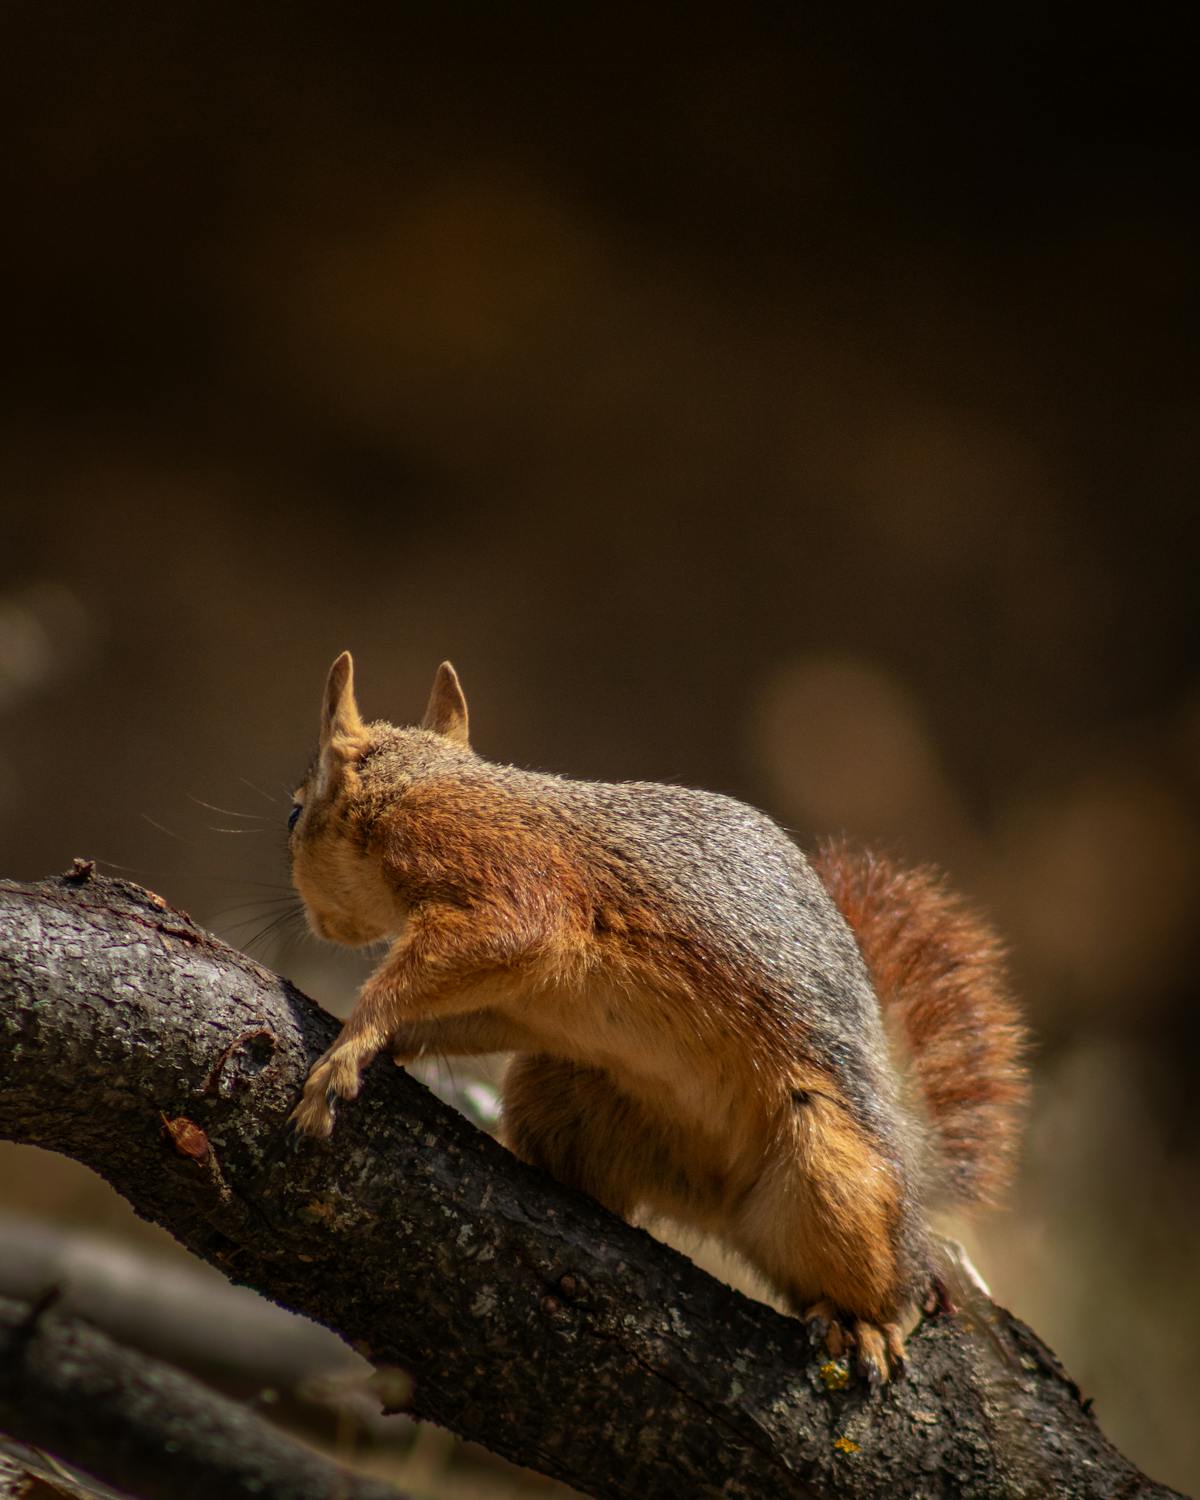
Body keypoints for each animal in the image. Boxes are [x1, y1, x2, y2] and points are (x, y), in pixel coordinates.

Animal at [289, 653, 1027, 1382]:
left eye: (294, 813)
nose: (311, 919)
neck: (420, 785)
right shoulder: (523, 1005)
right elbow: (466, 1016)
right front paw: (392, 1042)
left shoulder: (497, 876)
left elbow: (500, 932)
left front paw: (353, 1044)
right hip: (564, 1092)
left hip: (834, 1173)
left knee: (875, 1274)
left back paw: (865, 1322)